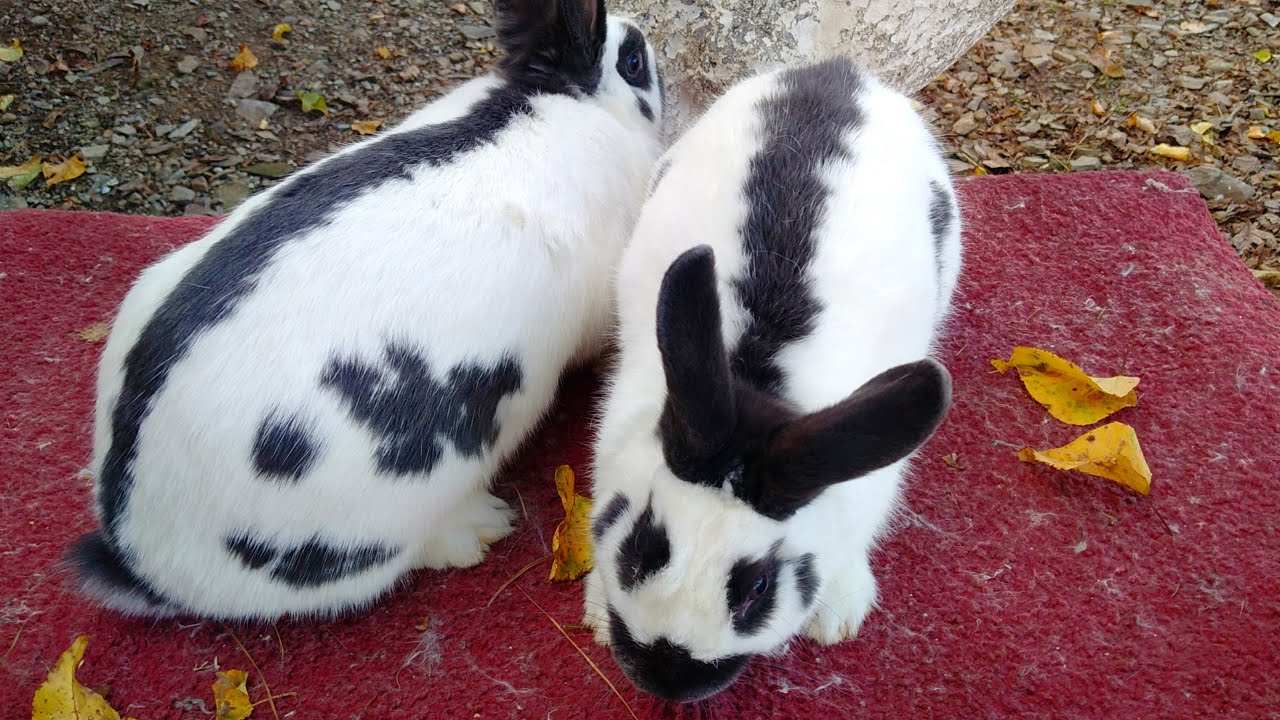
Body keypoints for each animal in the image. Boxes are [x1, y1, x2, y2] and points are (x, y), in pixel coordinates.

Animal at [582, 56, 963, 702]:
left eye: (757, 588)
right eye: (643, 547)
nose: (667, 681)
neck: (757, 384)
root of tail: (838, 73)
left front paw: (837, 618)